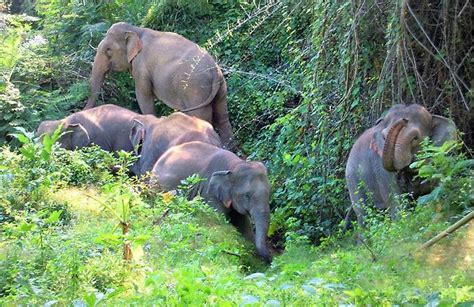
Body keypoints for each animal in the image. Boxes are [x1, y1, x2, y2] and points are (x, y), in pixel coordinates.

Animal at [84, 21, 235, 149]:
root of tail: (214, 70)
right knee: (222, 116)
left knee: (203, 118)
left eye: (108, 50)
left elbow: (143, 96)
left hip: (196, 91)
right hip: (220, 88)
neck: (136, 30)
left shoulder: (141, 67)